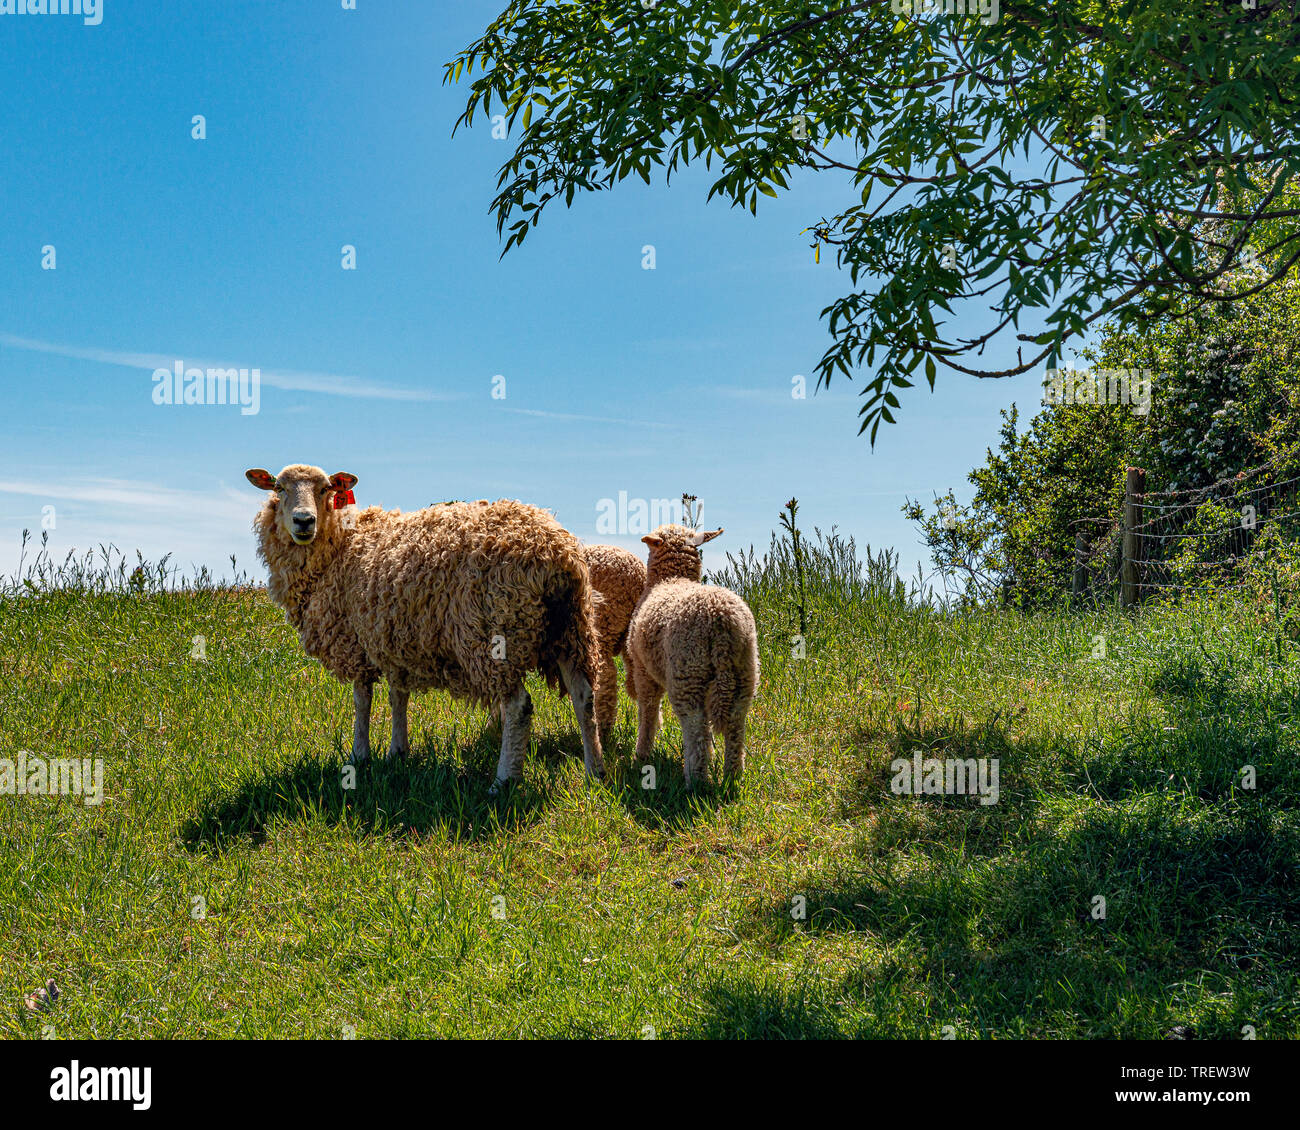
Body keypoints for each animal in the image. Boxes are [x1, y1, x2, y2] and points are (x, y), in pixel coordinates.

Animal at [245, 464, 603, 791]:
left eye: (325, 489)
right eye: (279, 488)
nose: (303, 521)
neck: (340, 547)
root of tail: (553, 550)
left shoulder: (354, 642)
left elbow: (362, 701)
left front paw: (359, 756)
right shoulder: (392, 640)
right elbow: (397, 697)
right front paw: (397, 753)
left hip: (496, 634)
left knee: (519, 707)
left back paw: (503, 782)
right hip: (572, 628)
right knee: (583, 695)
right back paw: (594, 772)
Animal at [625, 524, 760, 787]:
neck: (671, 579)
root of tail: (720, 620)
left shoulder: (643, 670)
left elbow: (648, 712)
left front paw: (641, 754)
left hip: (688, 672)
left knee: (696, 727)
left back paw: (695, 780)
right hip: (744, 672)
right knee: (735, 725)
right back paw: (732, 776)